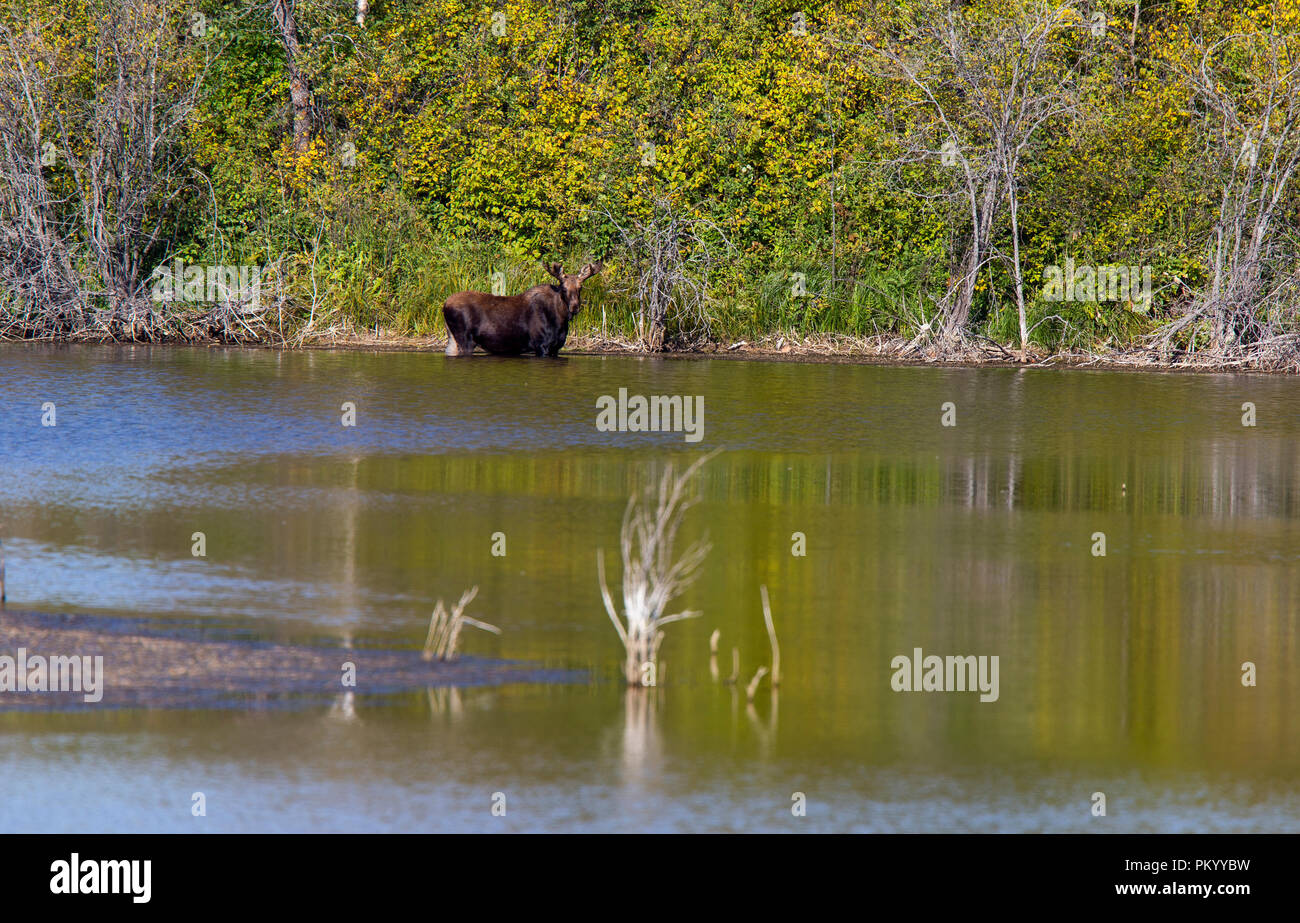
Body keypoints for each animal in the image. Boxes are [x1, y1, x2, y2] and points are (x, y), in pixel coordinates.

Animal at [443, 262, 604, 357]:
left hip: (453, 338)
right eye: (563, 288)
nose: (575, 307)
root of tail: (444, 306)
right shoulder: (541, 345)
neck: (560, 320)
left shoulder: (555, 348)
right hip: (465, 340)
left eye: (580, 288)